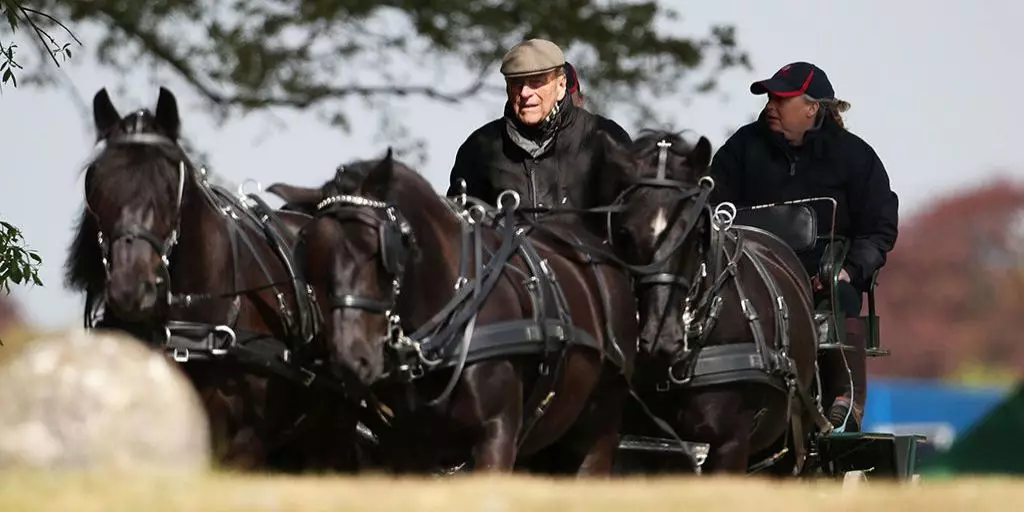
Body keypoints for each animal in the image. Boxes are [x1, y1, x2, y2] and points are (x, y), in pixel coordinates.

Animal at [270, 151, 638, 475]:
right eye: (310, 254)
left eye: (380, 250)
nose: (349, 360)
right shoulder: (400, 449)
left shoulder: (496, 436)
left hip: (598, 430)